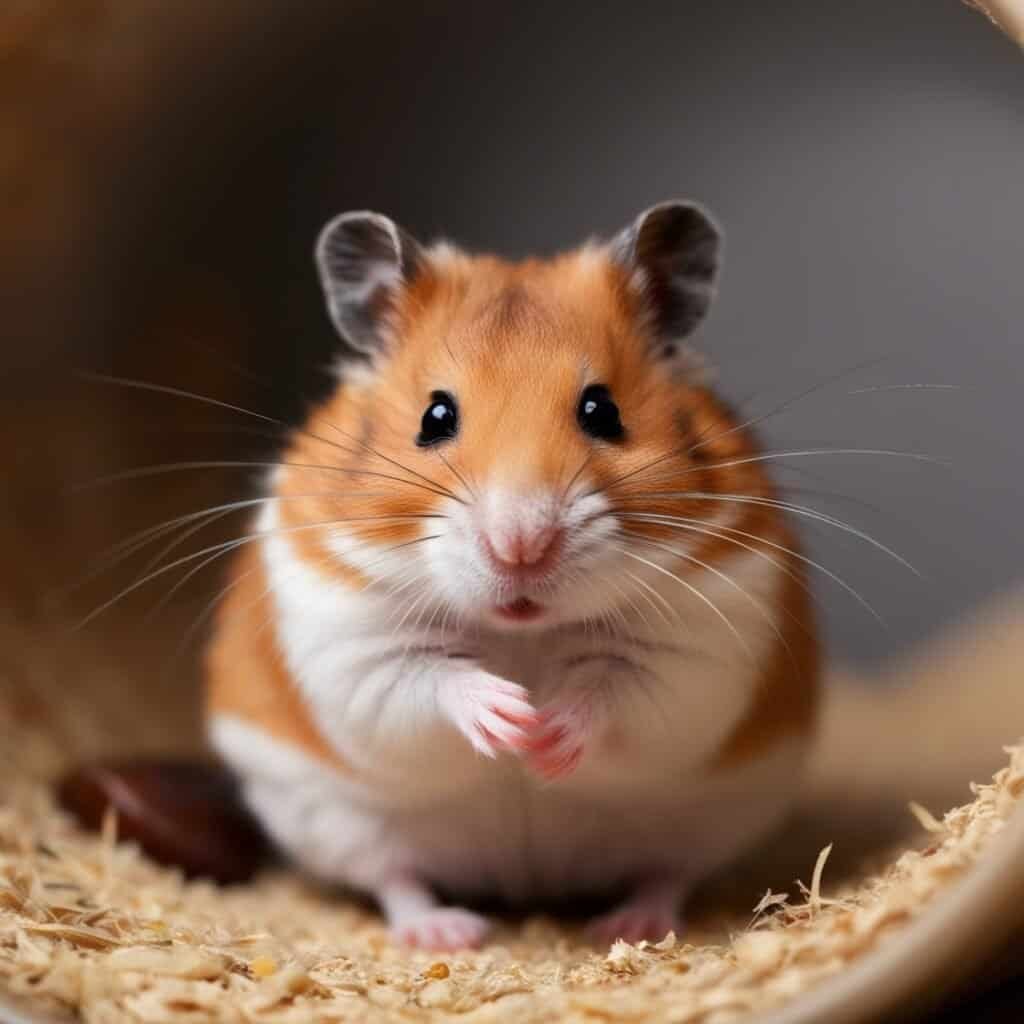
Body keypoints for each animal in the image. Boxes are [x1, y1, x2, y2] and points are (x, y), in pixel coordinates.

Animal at [205, 201, 819, 951]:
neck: (522, 632)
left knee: (667, 873)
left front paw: (545, 735)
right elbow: (427, 680)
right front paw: (511, 719)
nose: (520, 545)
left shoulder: (695, 647)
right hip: (333, 819)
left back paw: (628, 924)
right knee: (394, 878)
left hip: (706, 820)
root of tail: (527, 883)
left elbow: (614, 687)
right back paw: (446, 932)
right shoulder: (353, 643)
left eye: (602, 410)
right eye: (435, 416)